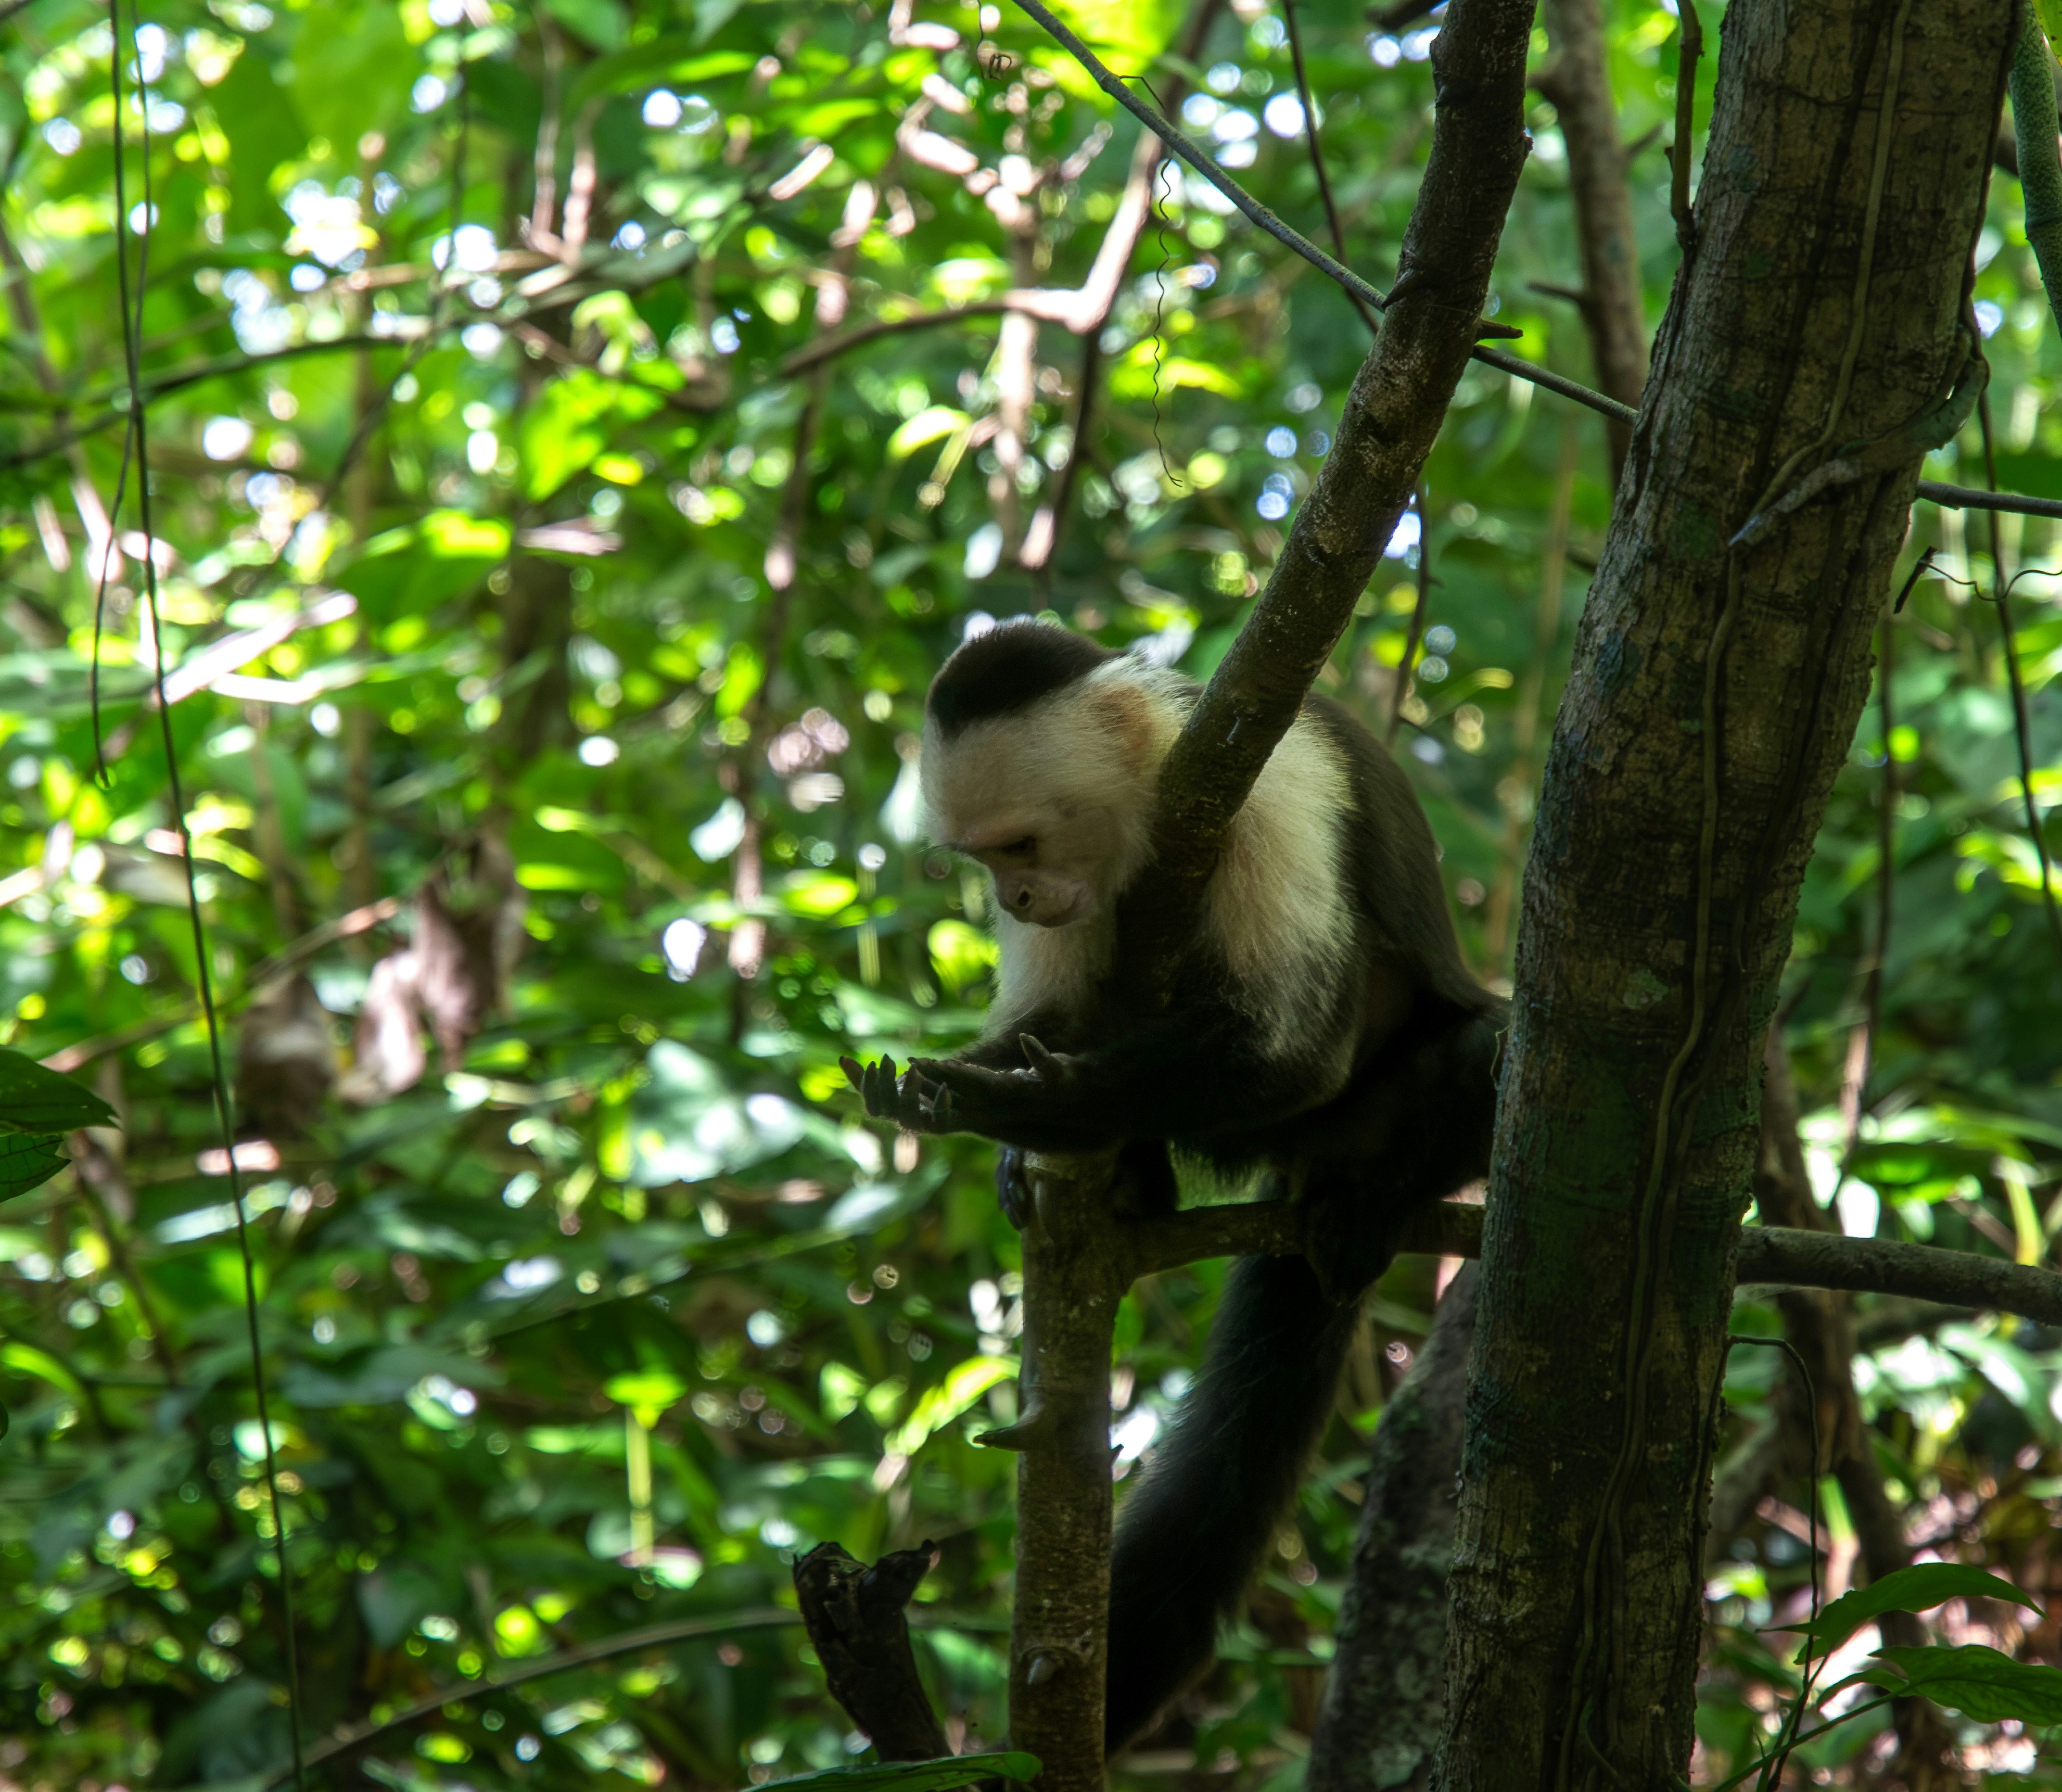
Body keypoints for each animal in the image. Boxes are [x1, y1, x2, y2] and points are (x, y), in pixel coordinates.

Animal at [841, 619, 1504, 1751]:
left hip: (1360, 1123)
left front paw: (1030, 1110)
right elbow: (1056, 1009)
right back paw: (1137, 1190)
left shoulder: (1271, 785)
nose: (1013, 901)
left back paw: (1366, 1199)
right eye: (986, 863)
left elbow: (1297, 1049)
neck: (1162, 794)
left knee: (1497, 1051)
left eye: (1019, 845)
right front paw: (972, 1098)